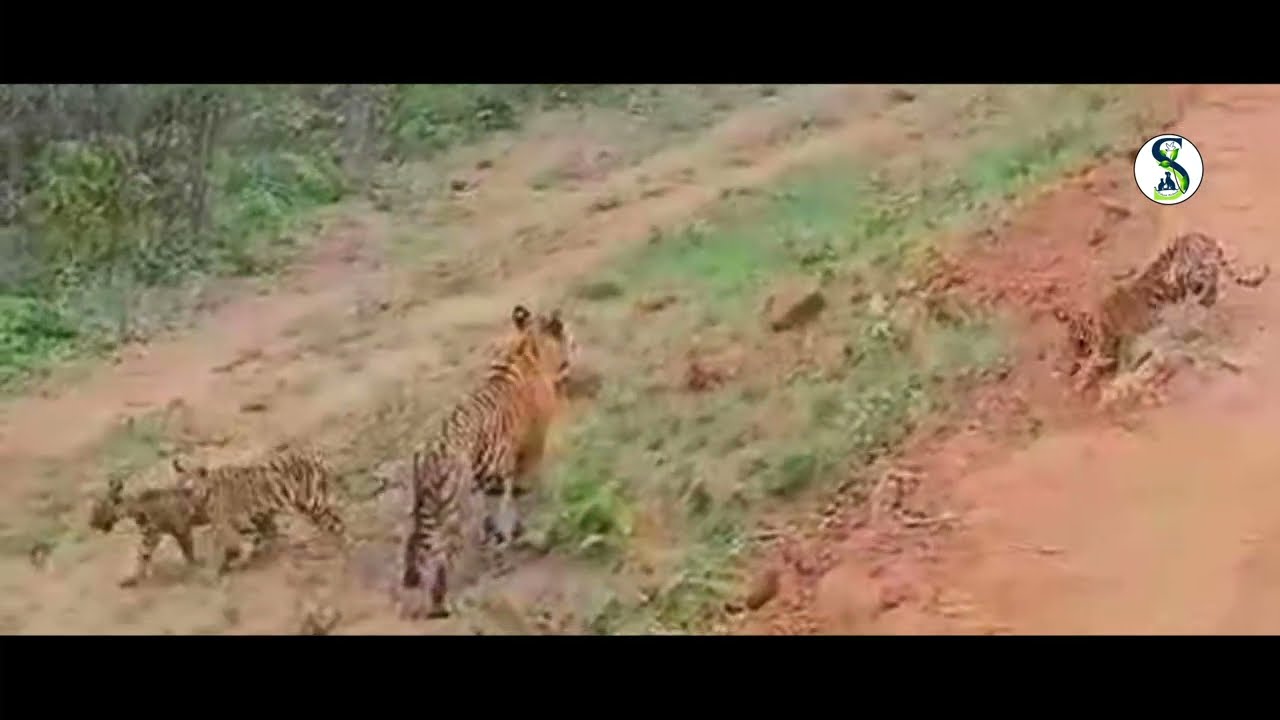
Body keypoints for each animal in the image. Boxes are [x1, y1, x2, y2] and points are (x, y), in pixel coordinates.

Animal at [170, 448, 347, 573]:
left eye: (189, 490)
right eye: (178, 489)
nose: (183, 504)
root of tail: (316, 456)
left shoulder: (237, 521)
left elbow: (243, 542)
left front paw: (234, 562)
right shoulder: (260, 516)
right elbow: (266, 534)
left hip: (313, 503)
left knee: (337, 524)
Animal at [398, 304, 577, 620]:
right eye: (565, 331)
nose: (575, 344)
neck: (526, 350)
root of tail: (432, 455)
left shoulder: (491, 475)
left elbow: (495, 507)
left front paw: (497, 535)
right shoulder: (530, 451)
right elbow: (522, 493)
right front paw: (521, 530)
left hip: (422, 507)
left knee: (413, 544)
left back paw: (413, 585)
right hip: (453, 510)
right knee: (442, 558)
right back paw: (441, 605)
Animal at [1058, 231, 1269, 392]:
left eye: (1079, 340)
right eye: (1074, 341)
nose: (1076, 355)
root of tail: (1203, 236)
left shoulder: (1118, 341)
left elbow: (1101, 363)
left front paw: (1082, 380)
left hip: (1191, 269)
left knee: (1202, 280)